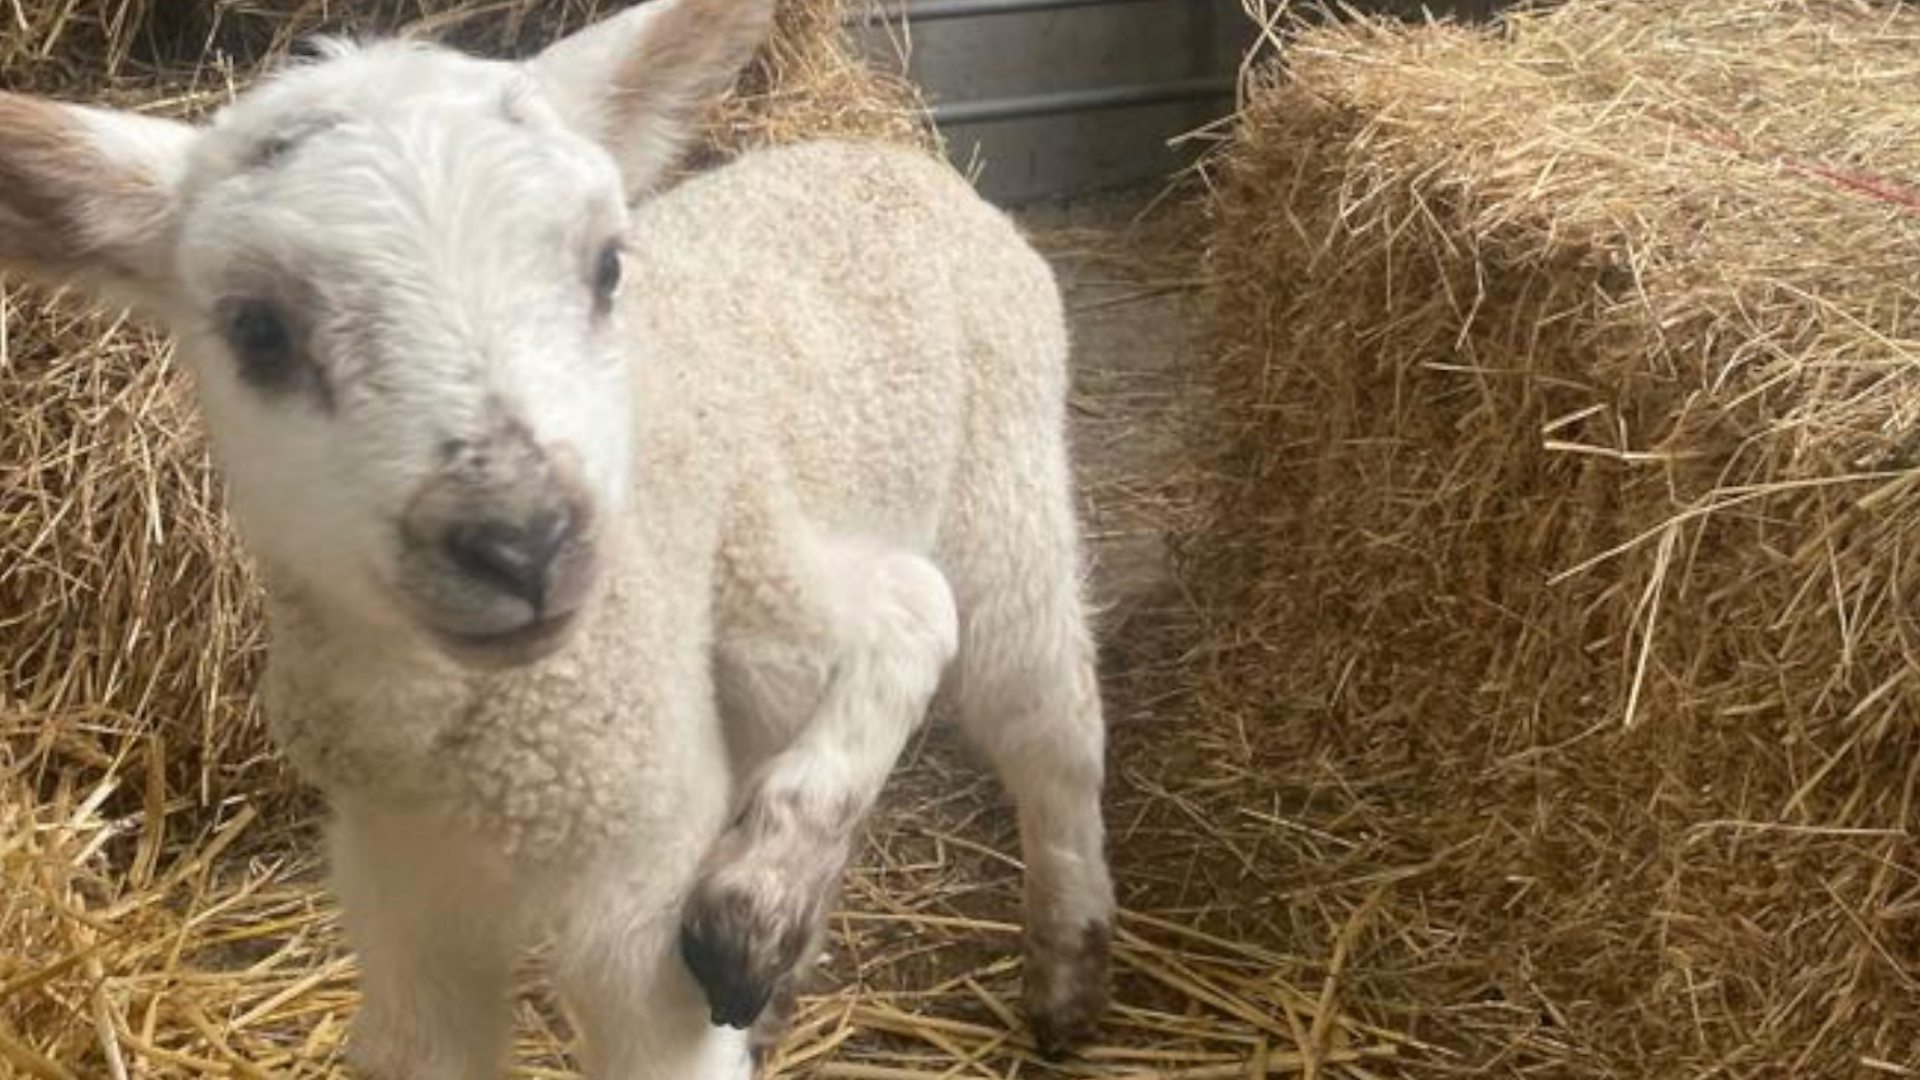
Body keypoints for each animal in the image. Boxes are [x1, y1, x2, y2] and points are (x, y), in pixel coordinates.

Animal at [0, 2, 1115, 1077]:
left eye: (608, 266)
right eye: (256, 331)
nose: (522, 540)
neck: (496, 764)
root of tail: (879, 152)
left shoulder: (649, 872)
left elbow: (910, 615)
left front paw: (754, 907)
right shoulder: (404, 906)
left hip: (1005, 488)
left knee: (1042, 716)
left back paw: (1060, 961)